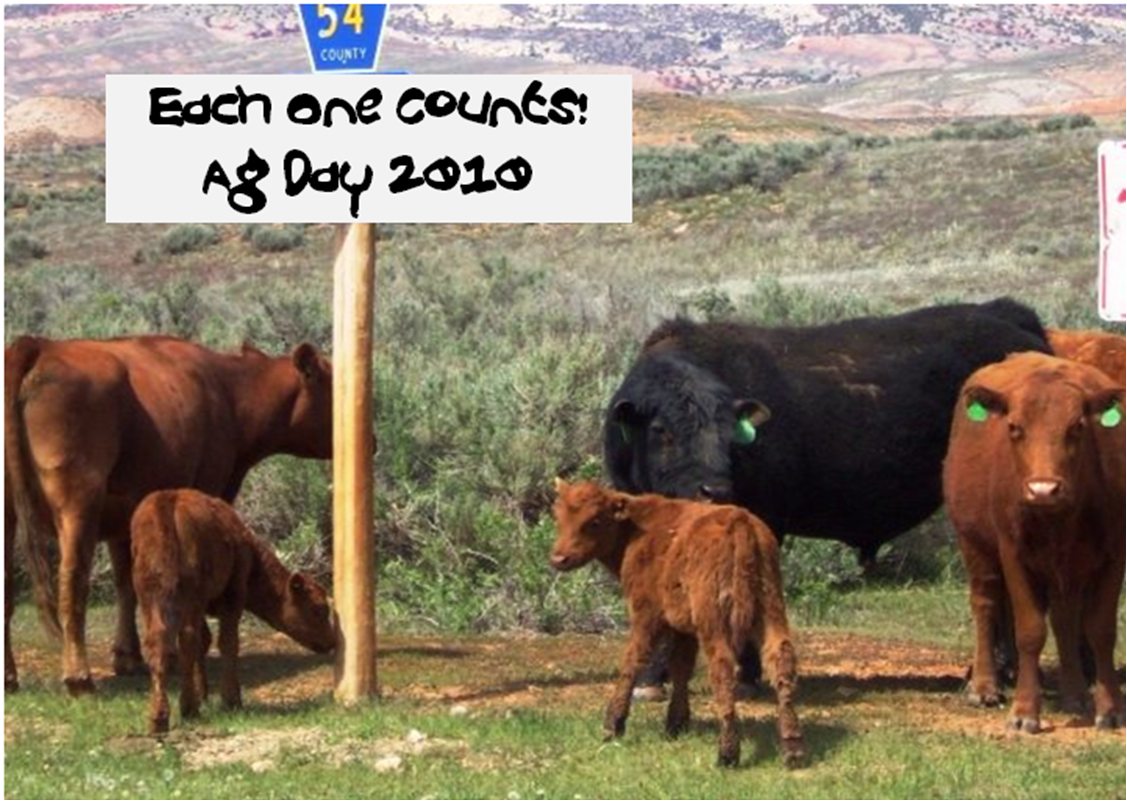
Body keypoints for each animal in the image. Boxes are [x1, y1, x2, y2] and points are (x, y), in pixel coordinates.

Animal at [4, 335, 336, 695]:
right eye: (333, 385)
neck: (229, 390)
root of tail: (39, 345)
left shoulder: (124, 515)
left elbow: (127, 582)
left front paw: (128, 657)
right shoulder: (207, 488)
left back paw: (10, 677)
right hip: (78, 503)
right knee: (72, 582)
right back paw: (79, 678)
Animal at [132, 489, 336, 734]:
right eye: (318, 609)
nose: (332, 641)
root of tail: (168, 500)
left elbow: (206, 641)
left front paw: (204, 694)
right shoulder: (233, 596)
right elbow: (228, 643)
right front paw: (231, 700)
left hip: (150, 597)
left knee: (158, 642)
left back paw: (158, 718)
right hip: (191, 597)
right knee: (187, 639)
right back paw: (188, 709)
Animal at [550, 480, 806, 769]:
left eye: (594, 520)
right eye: (558, 517)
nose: (559, 558)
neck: (636, 529)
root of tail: (740, 523)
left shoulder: (647, 615)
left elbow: (633, 661)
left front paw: (612, 726)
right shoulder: (684, 629)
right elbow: (681, 667)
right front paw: (676, 724)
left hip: (713, 620)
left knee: (722, 667)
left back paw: (727, 754)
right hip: (771, 608)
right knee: (780, 658)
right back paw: (793, 748)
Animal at [604, 298, 1050, 689]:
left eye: (730, 433)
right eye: (661, 430)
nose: (714, 489)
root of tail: (1008, 317)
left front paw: (744, 675)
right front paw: (650, 678)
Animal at [943, 352, 1125, 733]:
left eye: (1078, 427)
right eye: (1014, 427)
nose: (1043, 489)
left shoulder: (1114, 554)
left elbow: (1099, 629)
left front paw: (1111, 708)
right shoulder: (1012, 552)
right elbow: (1029, 630)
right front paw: (1025, 711)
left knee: (1063, 617)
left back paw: (1074, 693)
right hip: (974, 543)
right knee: (986, 603)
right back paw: (985, 686)